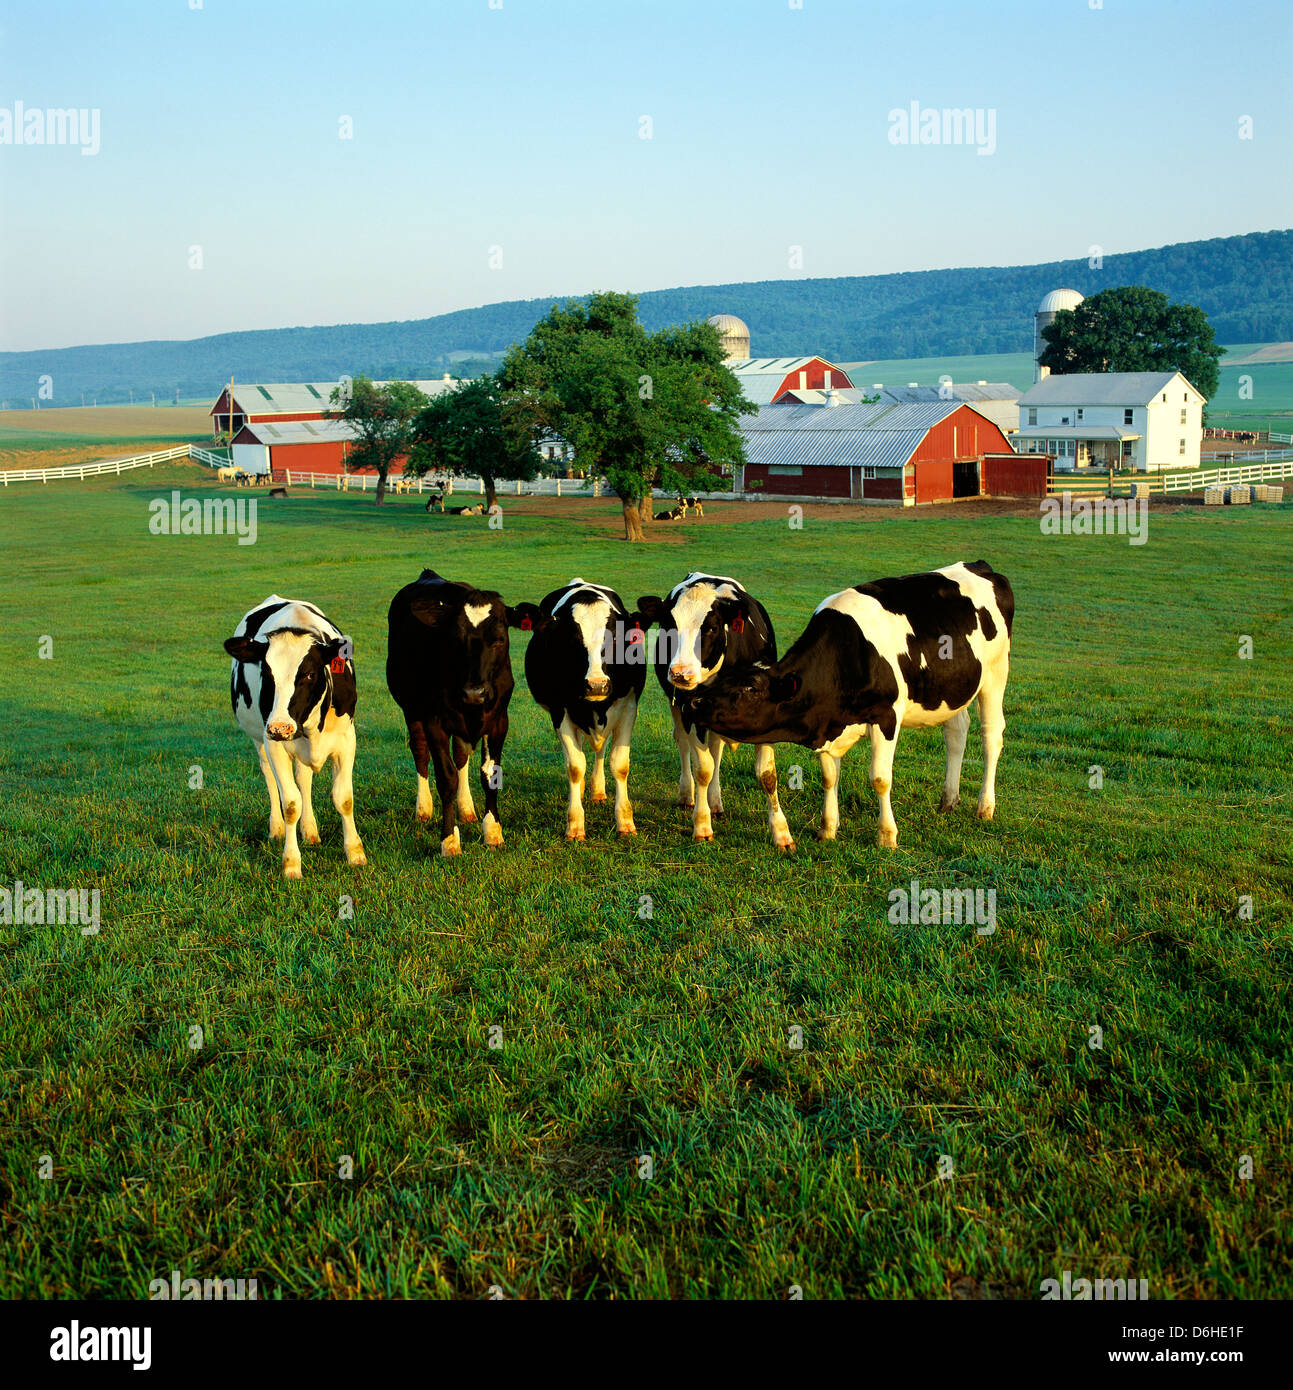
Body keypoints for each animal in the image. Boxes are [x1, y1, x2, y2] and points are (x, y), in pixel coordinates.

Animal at [223, 595, 366, 880]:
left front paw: (355, 853)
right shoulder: (274, 744)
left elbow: (343, 798)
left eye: (309, 674)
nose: (280, 727)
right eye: (266, 674)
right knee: (270, 776)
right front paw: (291, 863)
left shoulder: (346, 740)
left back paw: (310, 830)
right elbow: (290, 803)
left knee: (304, 778)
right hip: (261, 741)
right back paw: (277, 828)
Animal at [385, 569, 540, 857]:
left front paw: (492, 831)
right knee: (420, 752)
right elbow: (446, 778)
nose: (474, 693)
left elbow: (489, 774)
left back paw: (466, 808)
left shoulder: (499, 720)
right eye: (455, 639)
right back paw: (423, 808)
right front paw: (449, 840)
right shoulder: (433, 721)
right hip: (411, 708)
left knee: (460, 756)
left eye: (499, 639)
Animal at [522, 578, 650, 840]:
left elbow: (620, 764)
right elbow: (574, 765)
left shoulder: (628, 706)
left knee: (601, 749)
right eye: (572, 640)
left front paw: (625, 821)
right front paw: (575, 824)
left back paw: (598, 790)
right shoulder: (559, 710)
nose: (596, 684)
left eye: (615, 638)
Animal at [636, 572, 793, 849]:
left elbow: (766, 774)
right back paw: (687, 794)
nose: (681, 673)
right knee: (683, 743)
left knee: (716, 748)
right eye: (669, 625)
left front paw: (781, 831)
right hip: (677, 705)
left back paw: (716, 801)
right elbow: (703, 768)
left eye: (711, 627)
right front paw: (701, 825)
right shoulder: (690, 709)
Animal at [682, 561, 1013, 849]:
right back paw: (948, 800)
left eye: (750, 688)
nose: (695, 700)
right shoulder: (828, 725)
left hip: (996, 674)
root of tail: (979, 566)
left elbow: (880, 778)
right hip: (954, 688)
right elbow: (830, 777)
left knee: (991, 737)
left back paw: (985, 806)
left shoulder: (887, 716)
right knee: (956, 732)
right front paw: (828, 828)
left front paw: (887, 836)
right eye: (723, 679)